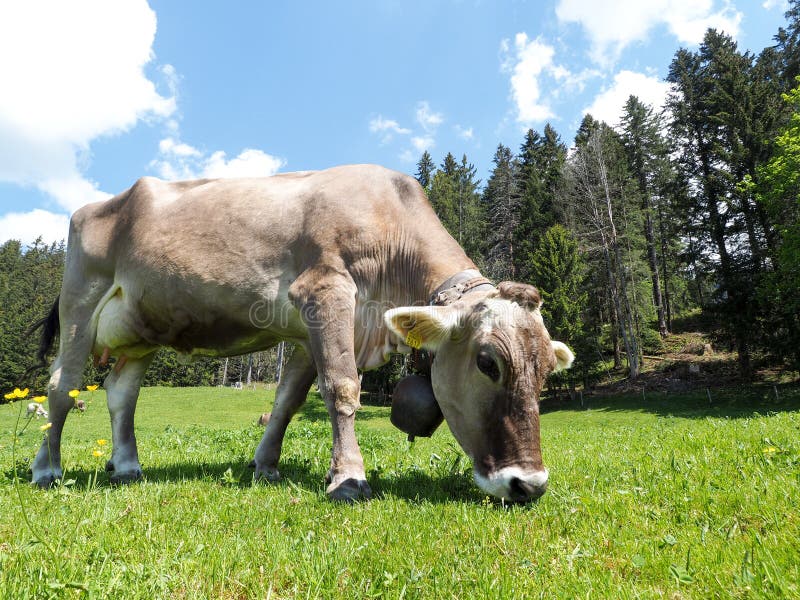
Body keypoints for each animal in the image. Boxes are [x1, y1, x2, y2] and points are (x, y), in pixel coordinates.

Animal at [31, 164, 573, 502]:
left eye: (548, 370)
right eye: (487, 363)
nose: (529, 484)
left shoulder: (317, 327)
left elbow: (289, 400)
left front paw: (267, 467)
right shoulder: (325, 291)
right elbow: (343, 389)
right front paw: (349, 479)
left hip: (141, 327)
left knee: (121, 392)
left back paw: (127, 466)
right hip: (81, 298)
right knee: (61, 386)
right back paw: (47, 469)